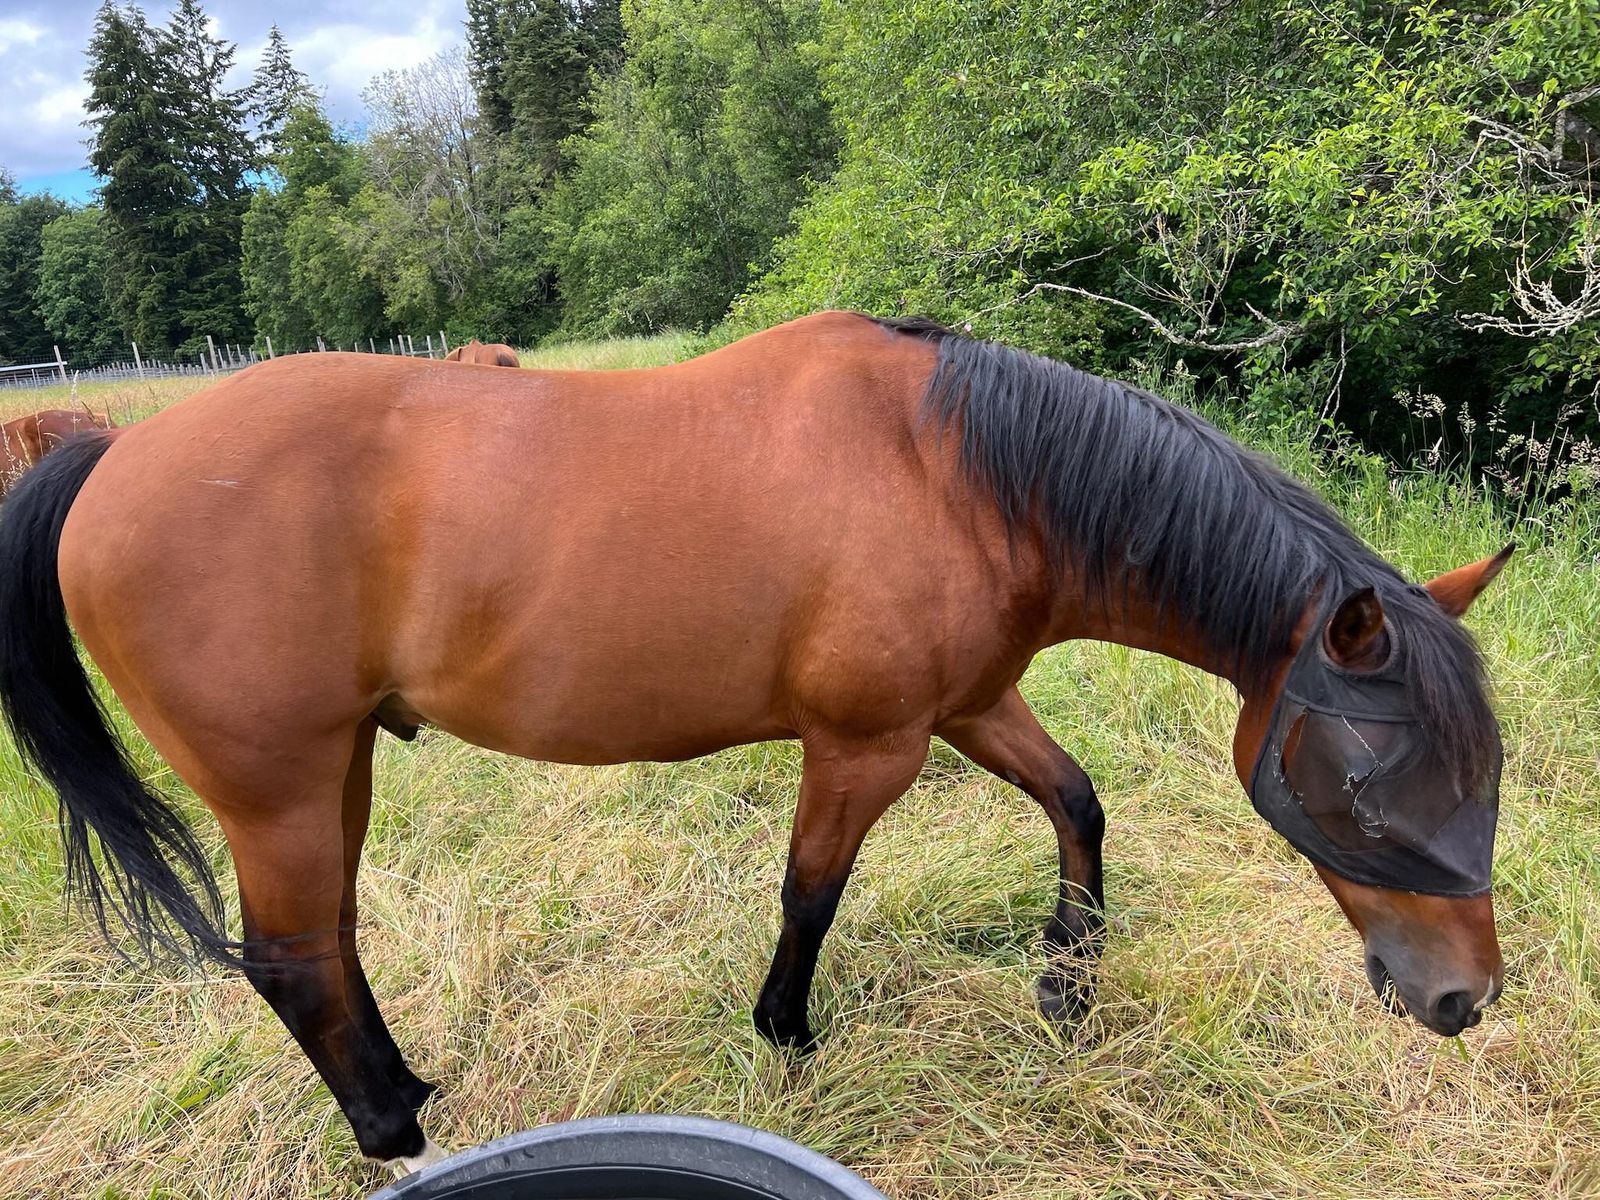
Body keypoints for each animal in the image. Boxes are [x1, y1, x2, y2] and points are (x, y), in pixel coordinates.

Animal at [0, 312, 1511, 1176]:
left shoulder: (967, 706)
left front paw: (1068, 982)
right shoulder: (868, 745)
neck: (957, 470)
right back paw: (395, 1133)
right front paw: (785, 1034)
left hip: (338, 773)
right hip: (285, 787)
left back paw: (406, 1091)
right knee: (293, 959)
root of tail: (107, 459)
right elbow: (810, 891)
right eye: (1367, 794)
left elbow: (1077, 800)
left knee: (326, 949)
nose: (1463, 1002)